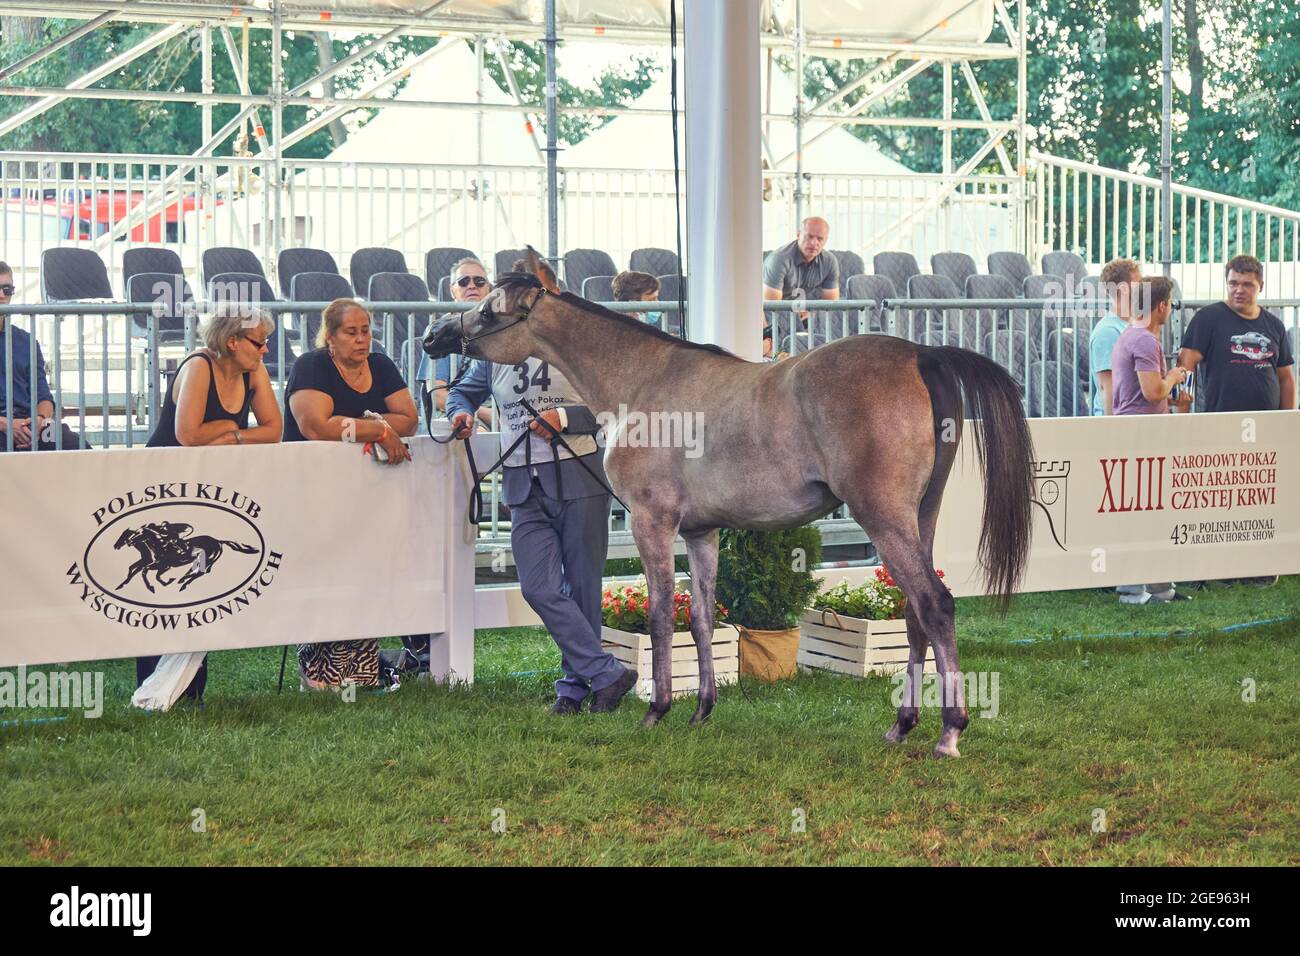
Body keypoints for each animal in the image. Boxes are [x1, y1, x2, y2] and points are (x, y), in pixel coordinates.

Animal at [114, 525, 258, 594]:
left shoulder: (165, 566)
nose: (128, 542)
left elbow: (148, 572)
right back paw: (182, 580)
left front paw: (155, 586)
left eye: (138, 533)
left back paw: (183, 584)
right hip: (206, 560)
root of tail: (218, 541)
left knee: (200, 573)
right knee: (200, 571)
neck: (160, 546)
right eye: (133, 533)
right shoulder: (157, 565)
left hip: (207, 559)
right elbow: (142, 570)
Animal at [424, 250, 1034, 757]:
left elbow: (659, 616)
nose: (434, 336)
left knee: (936, 605)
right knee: (915, 613)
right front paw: (701, 710)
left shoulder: (652, 522)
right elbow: (699, 617)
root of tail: (921, 354)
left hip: (883, 517)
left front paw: (656, 710)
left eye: (487, 310)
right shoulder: (701, 531)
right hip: (920, 516)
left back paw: (949, 731)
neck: (643, 382)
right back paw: (903, 724)